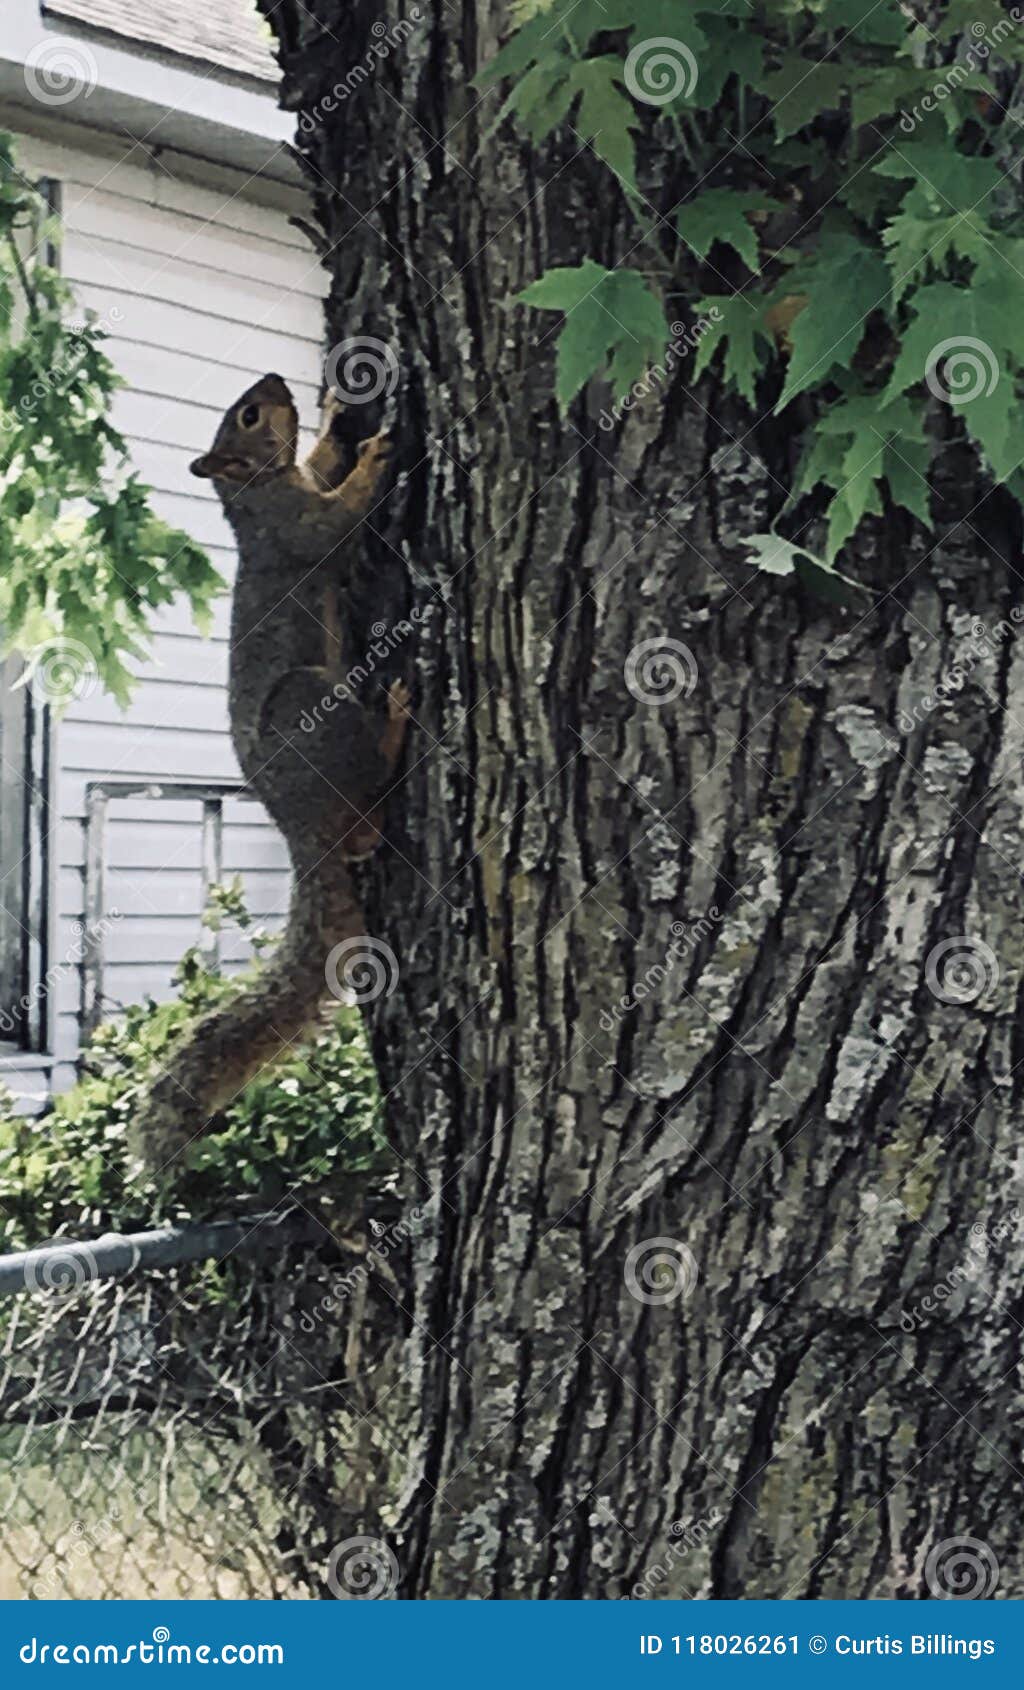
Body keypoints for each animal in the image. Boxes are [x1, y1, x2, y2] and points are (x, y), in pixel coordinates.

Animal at [130, 373, 408, 1170]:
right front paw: (375, 454)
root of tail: (298, 830)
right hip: (312, 705)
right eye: (250, 416)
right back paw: (397, 718)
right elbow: (335, 523)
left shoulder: (301, 483)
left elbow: (323, 464)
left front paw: (338, 421)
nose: (279, 383)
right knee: (366, 814)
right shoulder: (295, 525)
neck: (258, 488)